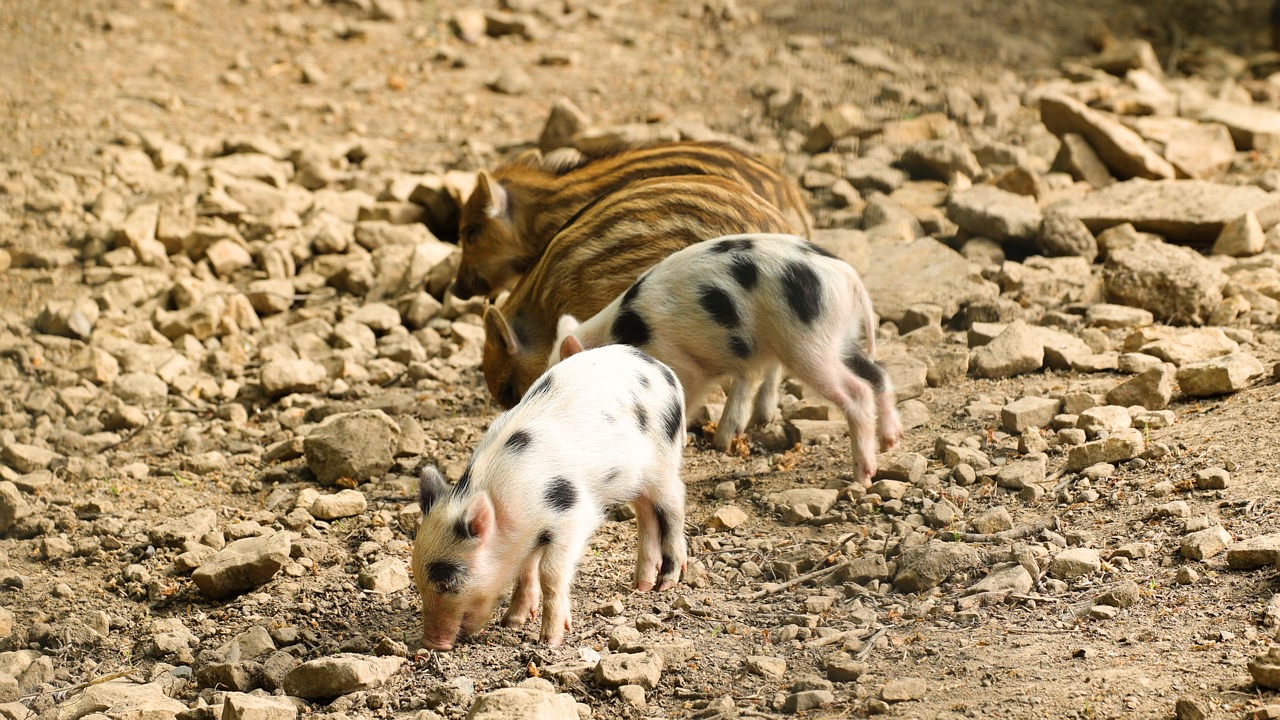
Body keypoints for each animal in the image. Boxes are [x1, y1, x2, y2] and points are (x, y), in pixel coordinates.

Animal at [411, 344, 688, 650]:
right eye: (418, 579)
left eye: (447, 583)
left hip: (664, 459)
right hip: (634, 478)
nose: (429, 643)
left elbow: (550, 573)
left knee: (675, 502)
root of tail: (661, 368)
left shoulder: (573, 515)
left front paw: (550, 641)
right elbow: (525, 569)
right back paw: (641, 585)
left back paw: (667, 582)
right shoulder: (530, 532)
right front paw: (513, 621)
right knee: (645, 512)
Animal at [550, 233, 903, 484]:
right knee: (879, 374)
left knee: (857, 391)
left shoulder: (682, 364)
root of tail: (849, 277)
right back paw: (890, 442)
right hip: (839, 337)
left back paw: (862, 476)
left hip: (808, 342)